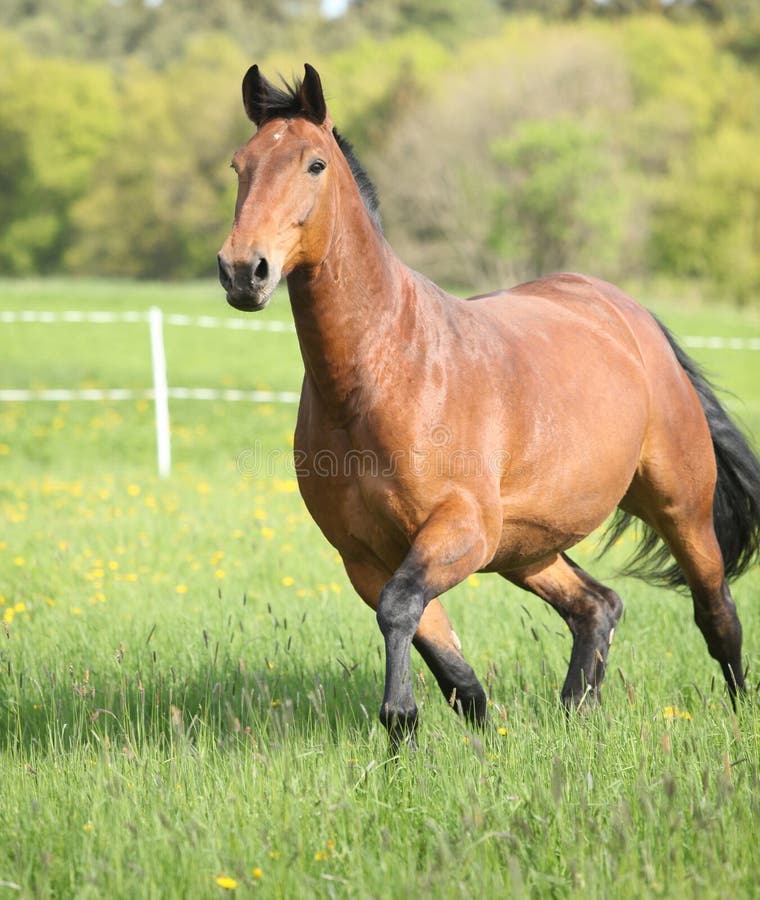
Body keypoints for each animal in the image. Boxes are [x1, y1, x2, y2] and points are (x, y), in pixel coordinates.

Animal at [217, 64, 760, 745]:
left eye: (313, 164)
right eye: (239, 164)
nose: (244, 271)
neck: (383, 373)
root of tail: (632, 318)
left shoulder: (461, 529)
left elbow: (402, 611)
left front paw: (401, 720)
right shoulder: (364, 556)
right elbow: (431, 640)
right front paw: (464, 721)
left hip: (678, 508)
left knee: (717, 613)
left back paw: (735, 712)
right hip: (528, 545)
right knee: (597, 606)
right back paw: (575, 709)